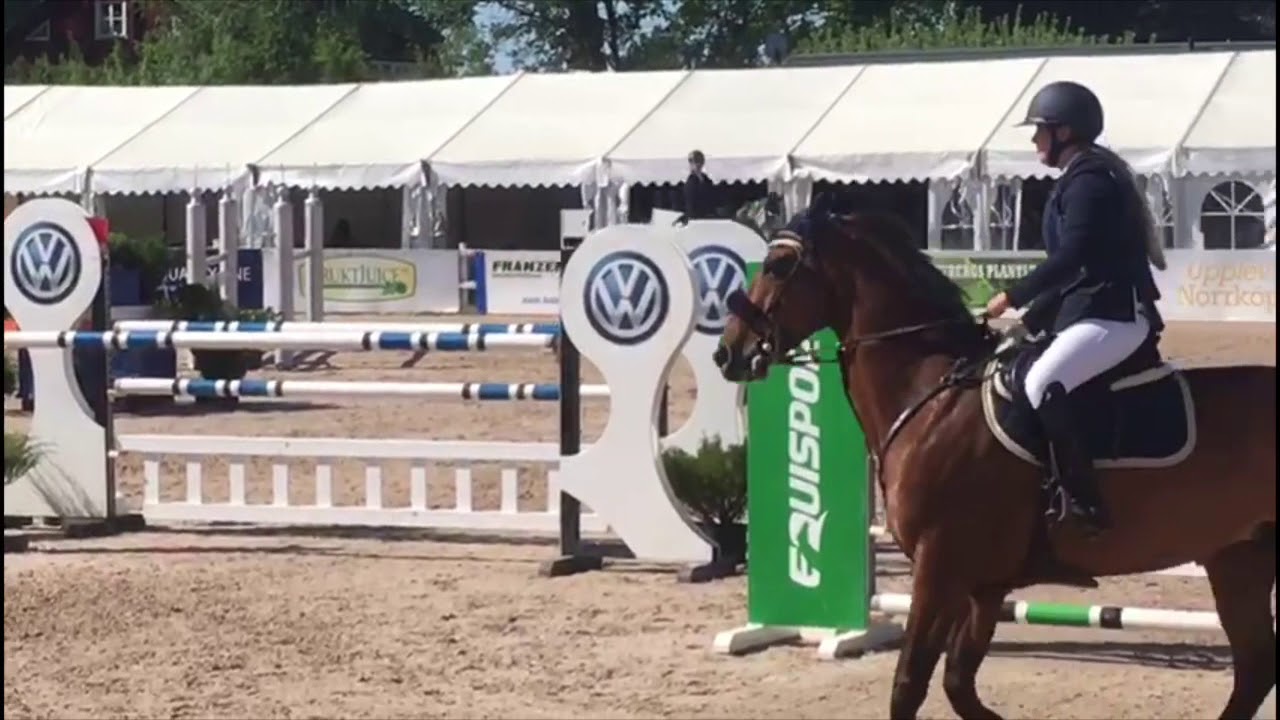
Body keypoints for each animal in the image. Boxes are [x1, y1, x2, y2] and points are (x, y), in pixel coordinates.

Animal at [714, 207, 1276, 720]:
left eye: (779, 266)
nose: (728, 353)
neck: (929, 394)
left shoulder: (939, 568)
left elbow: (909, 683)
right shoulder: (983, 587)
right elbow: (958, 682)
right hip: (1238, 560)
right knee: (1254, 669)